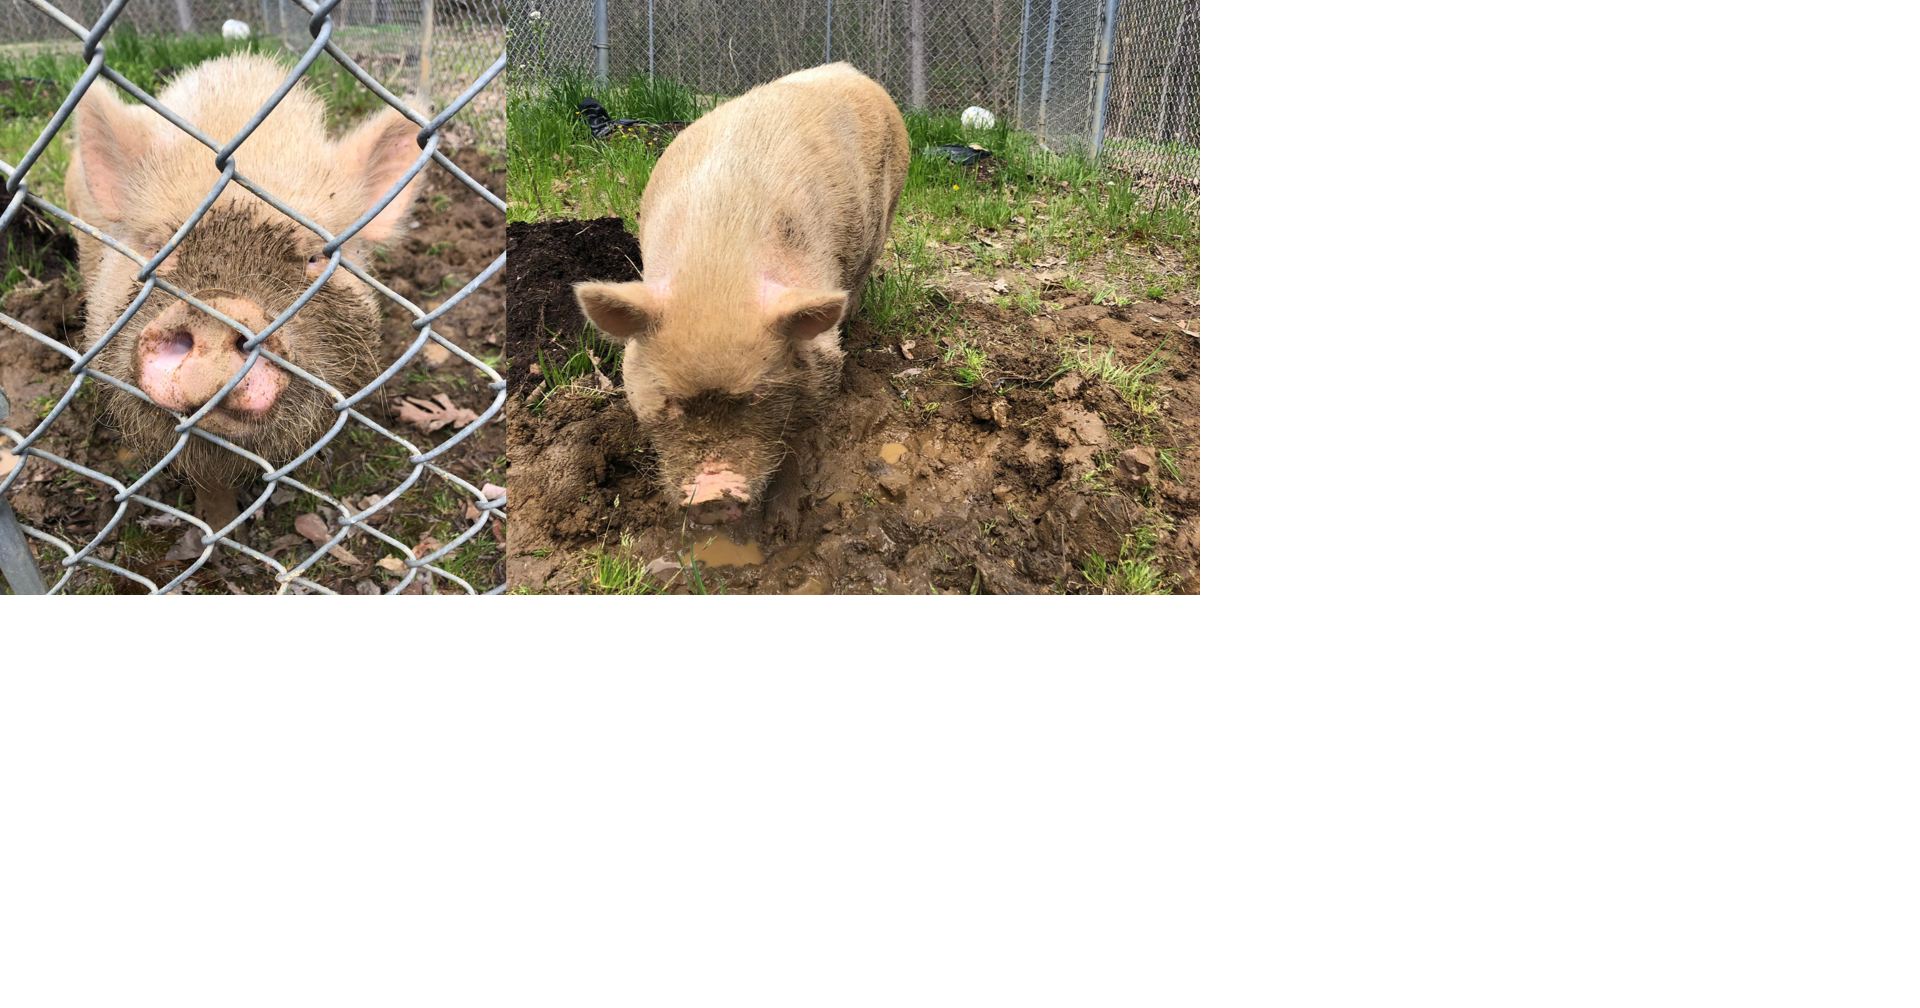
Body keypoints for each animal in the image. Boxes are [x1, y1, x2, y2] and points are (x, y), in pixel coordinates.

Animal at [573, 62, 908, 525]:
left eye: (755, 397)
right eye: (670, 400)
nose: (713, 496)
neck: (716, 271)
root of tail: (847, 69)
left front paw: (783, 523)